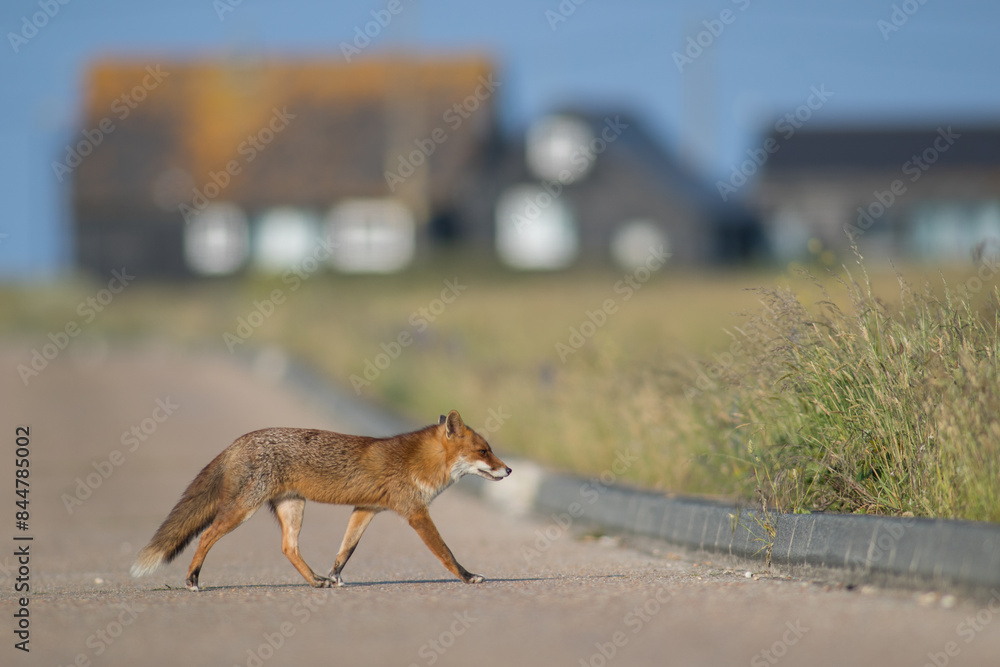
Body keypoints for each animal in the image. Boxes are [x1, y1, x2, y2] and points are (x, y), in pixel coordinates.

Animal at [130, 410, 511, 591]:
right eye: (484, 451)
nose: (508, 469)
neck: (419, 461)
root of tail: (238, 441)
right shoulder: (415, 513)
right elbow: (446, 553)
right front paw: (468, 577)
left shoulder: (366, 509)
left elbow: (345, 550)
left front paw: (334, 576)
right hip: (243, 510)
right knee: (207, 535)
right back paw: (193, 579)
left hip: (292, 508)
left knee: (288, 548)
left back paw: (315, 581)